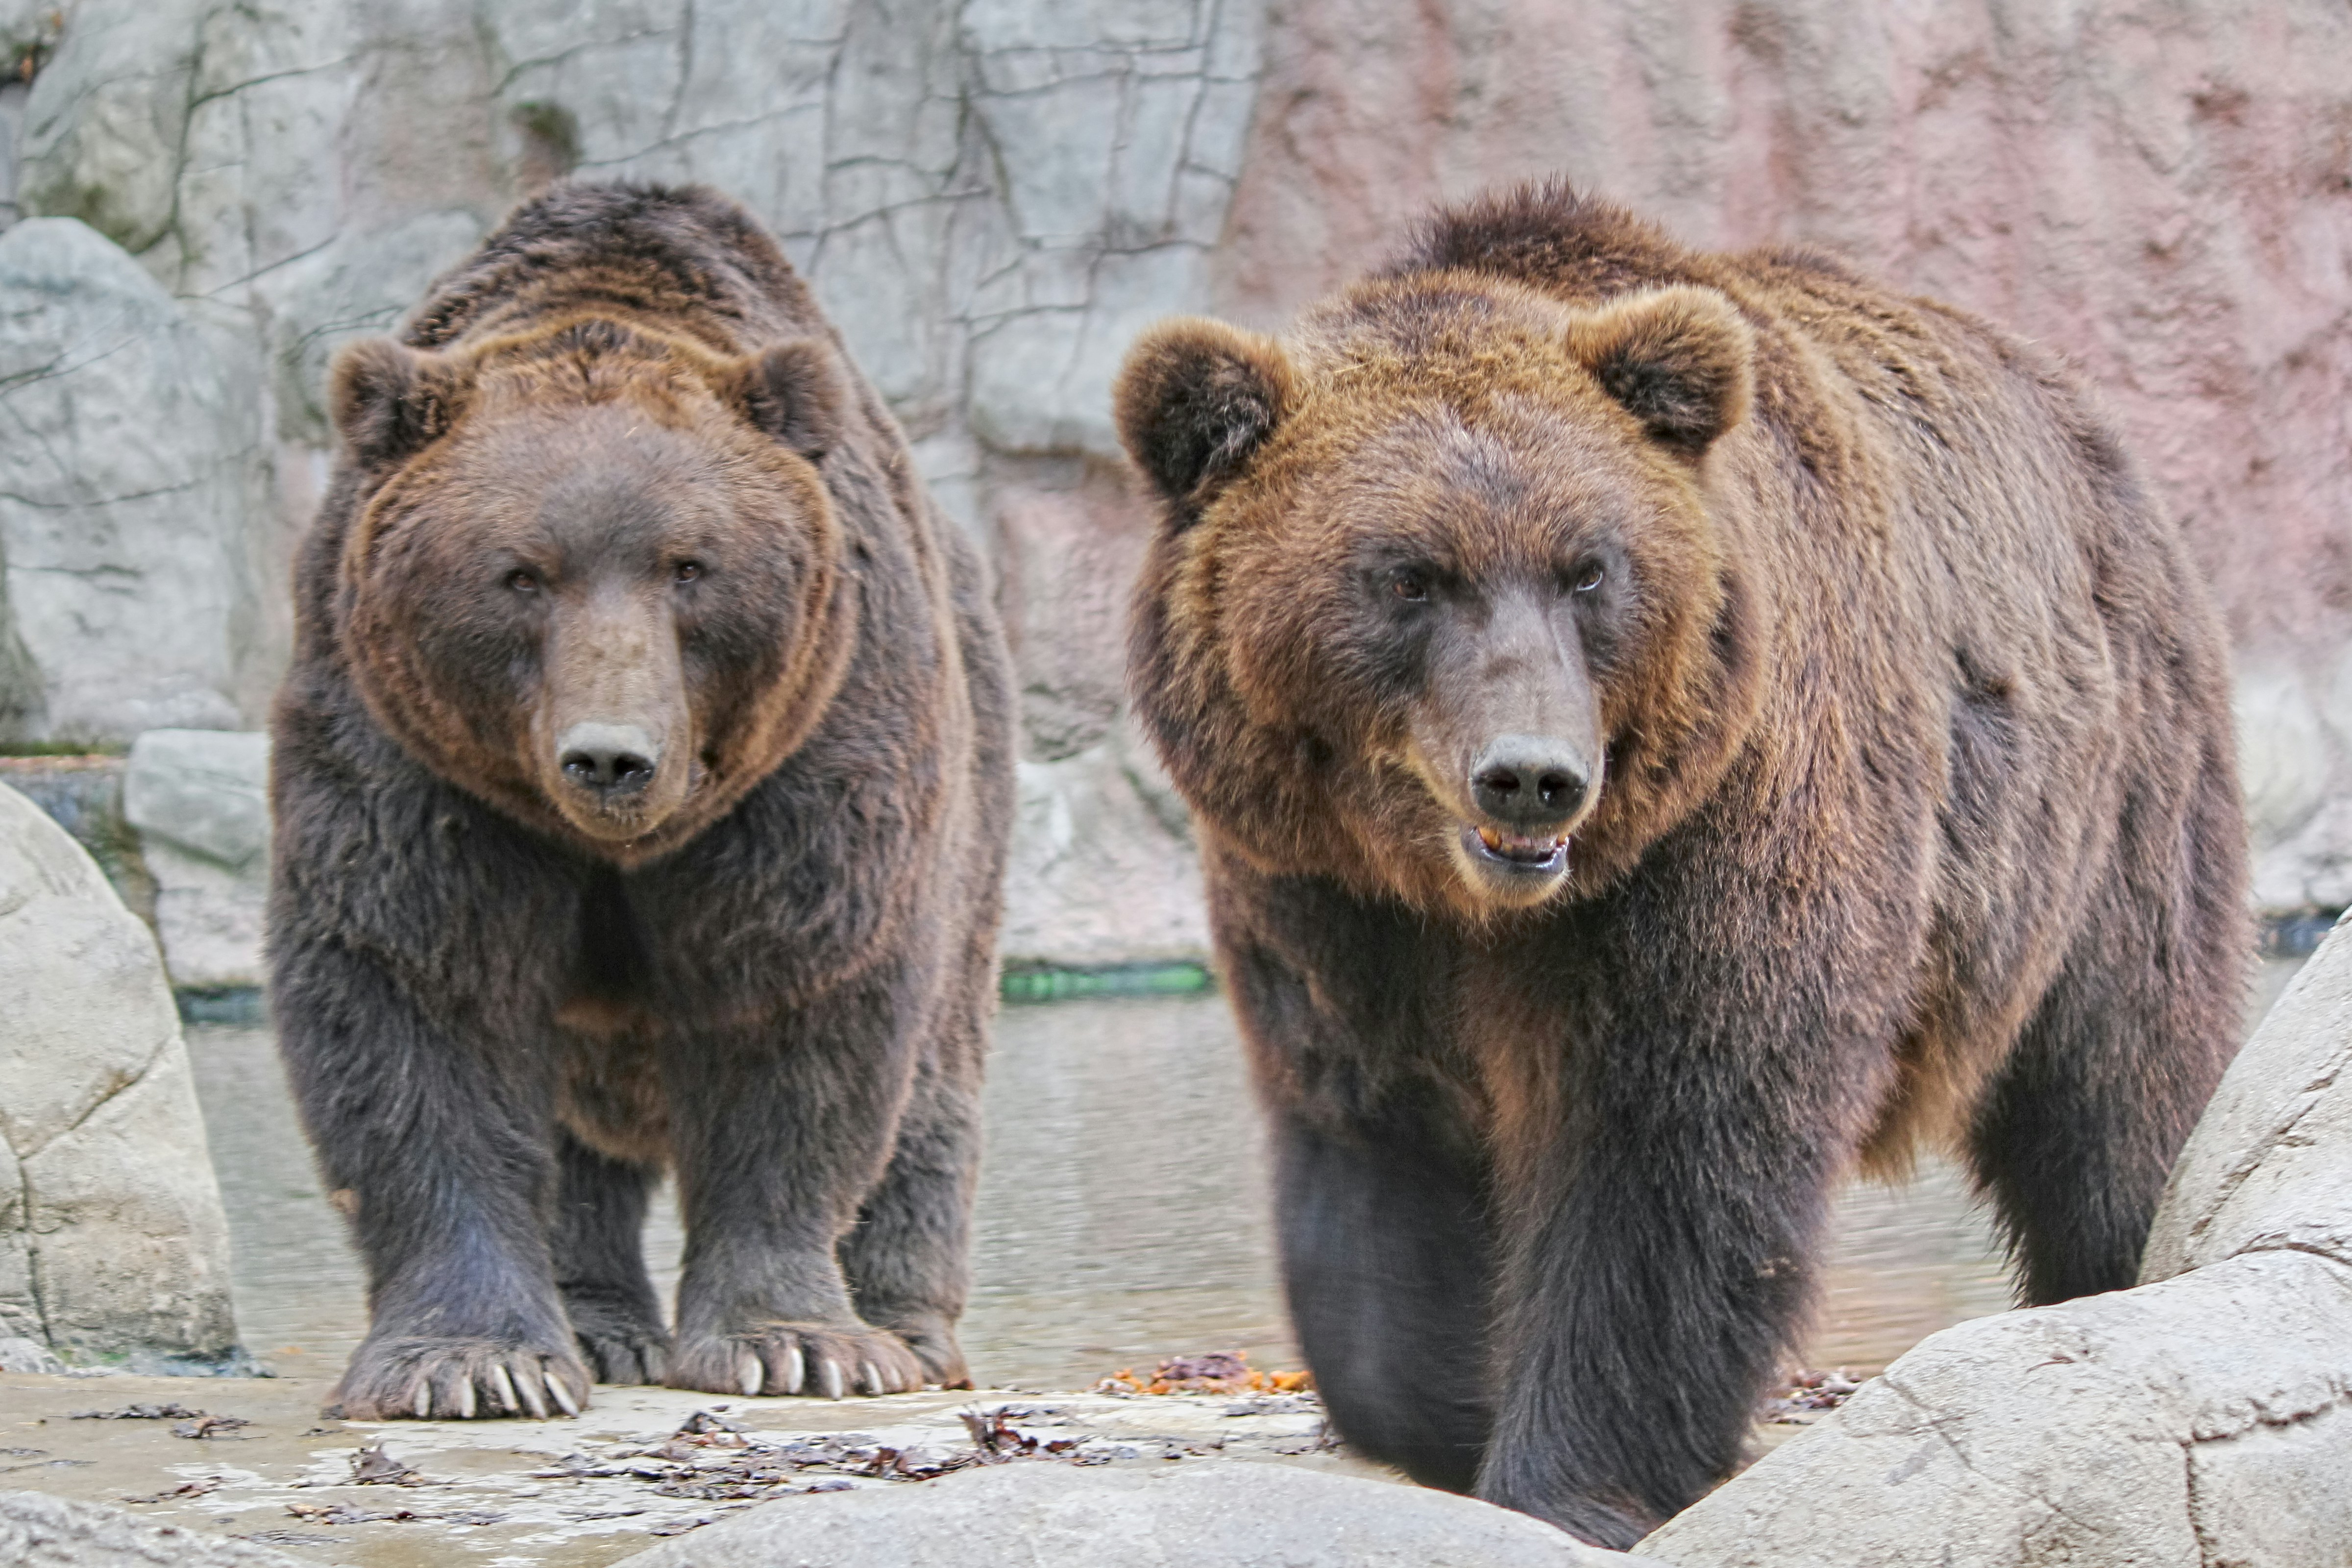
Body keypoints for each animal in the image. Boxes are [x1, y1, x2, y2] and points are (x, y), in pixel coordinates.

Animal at [268, 183, 1013, 1421]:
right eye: (520, 573)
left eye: (690, 565)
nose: (611, 759)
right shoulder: (410, 755)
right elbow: (420, 990)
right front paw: (471, 1363)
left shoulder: (814, 746)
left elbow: (795, 999)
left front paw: (795, 1343)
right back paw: (598, 1321)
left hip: (975, 780)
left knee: (934, 1072)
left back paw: (908, 1325)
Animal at [1113, 181, 2249, 1545]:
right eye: (1407, 576)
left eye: (1586, 568)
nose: (1531, 775)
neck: (1467, 900)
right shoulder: (1327, 901)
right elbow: (1377, 1134)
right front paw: (1444, 1407)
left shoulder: (1716, 832)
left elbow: (1668, 1144)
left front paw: (1571, 1475)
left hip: (2099, 802)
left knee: (2120, 1074)